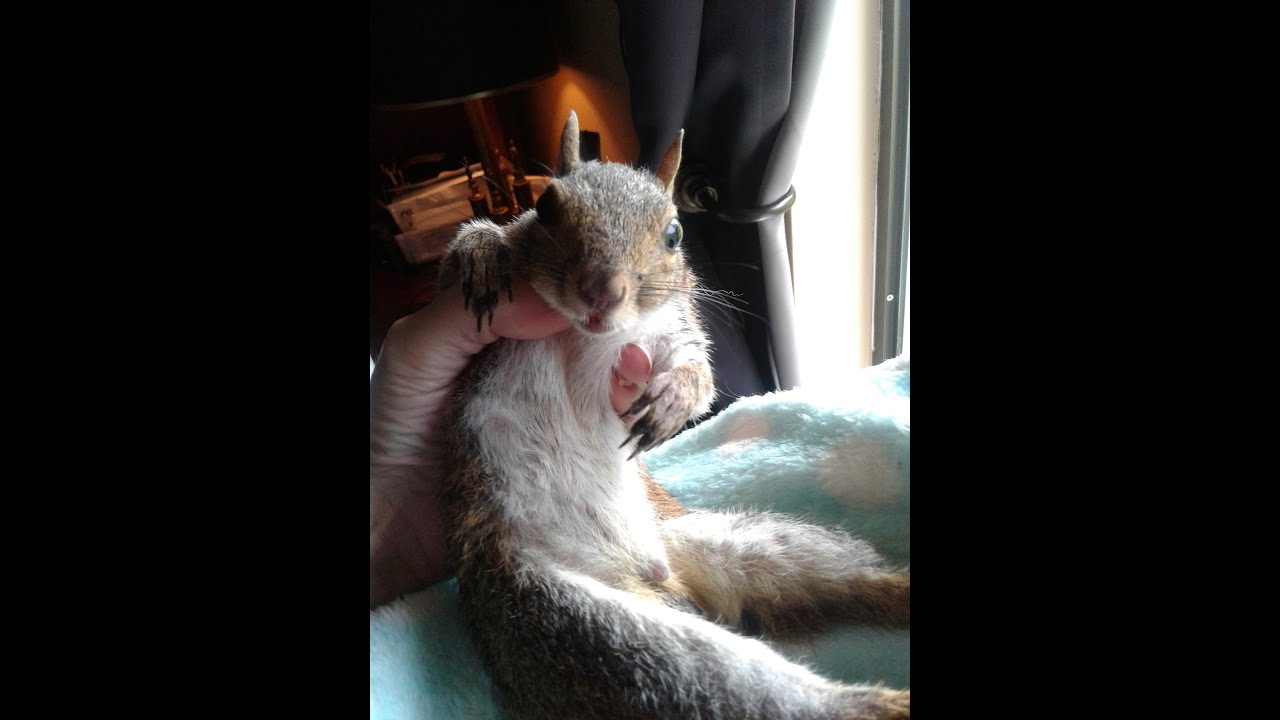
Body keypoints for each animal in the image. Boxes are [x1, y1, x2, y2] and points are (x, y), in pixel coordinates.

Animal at [437, 111, 910, 720]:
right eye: (544, 205)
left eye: (674, 234)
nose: (602, 290)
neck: (584, 335)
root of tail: (662, 583)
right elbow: (487, 246)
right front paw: (482, 250)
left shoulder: (673, 331)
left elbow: (699, 374)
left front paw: (675, 400)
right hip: (606, 640)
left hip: (756, 541)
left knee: (847, 585)